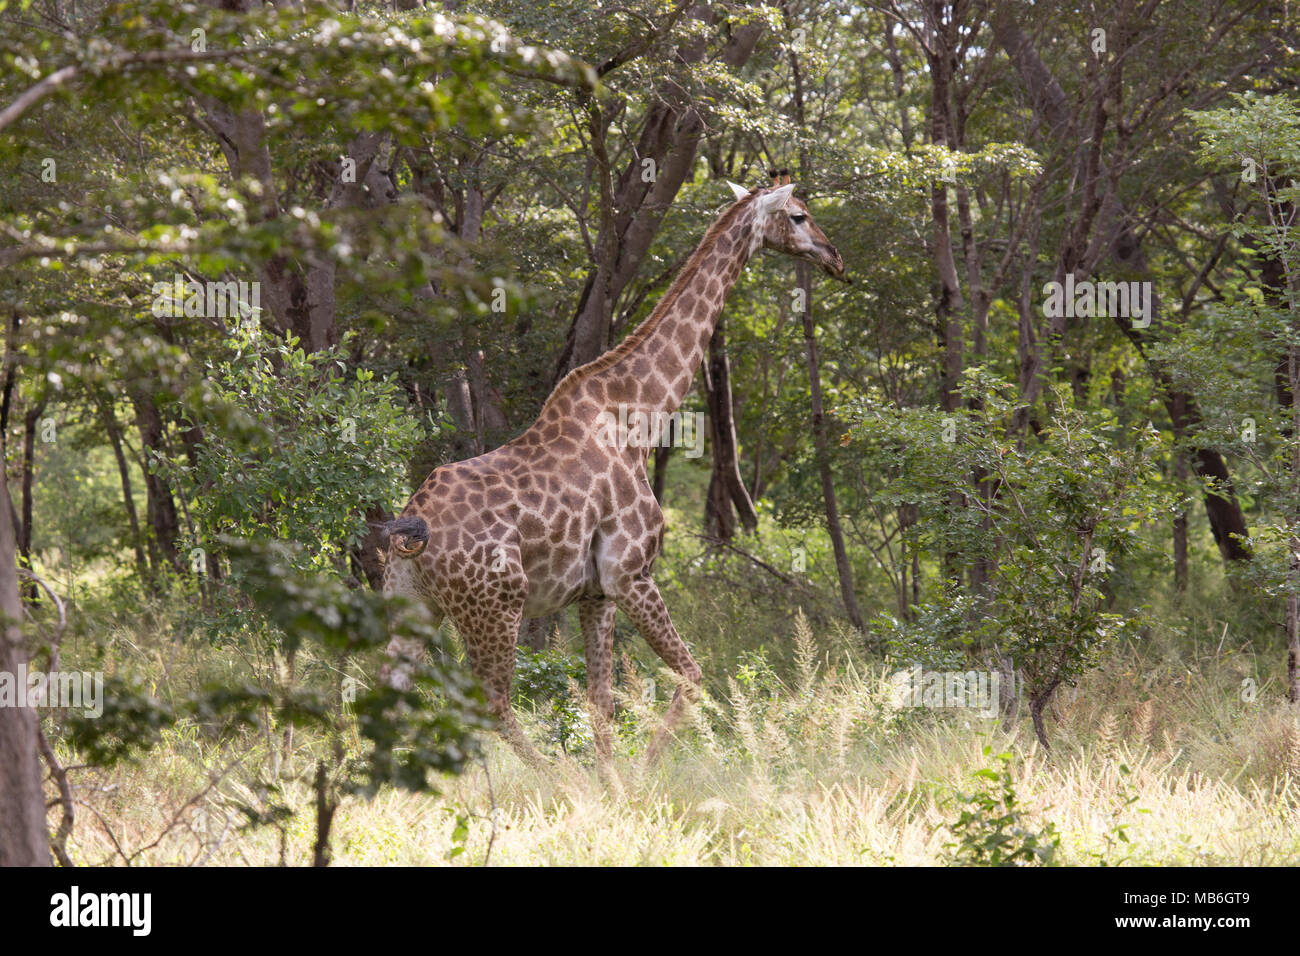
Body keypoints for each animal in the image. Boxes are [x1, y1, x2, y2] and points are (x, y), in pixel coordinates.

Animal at [380, 173, 848, 766]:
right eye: (798, 216)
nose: (835, 257)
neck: (639, 416)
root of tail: (413, 525)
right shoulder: (630, 572)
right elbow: (692, 675)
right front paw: (642, 772)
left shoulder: (595, 592)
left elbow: (599, 700)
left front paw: (615, 778)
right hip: (496, 606)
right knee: (491, 702)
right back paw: (558, 778)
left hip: (413, 603)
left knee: (383, 691)